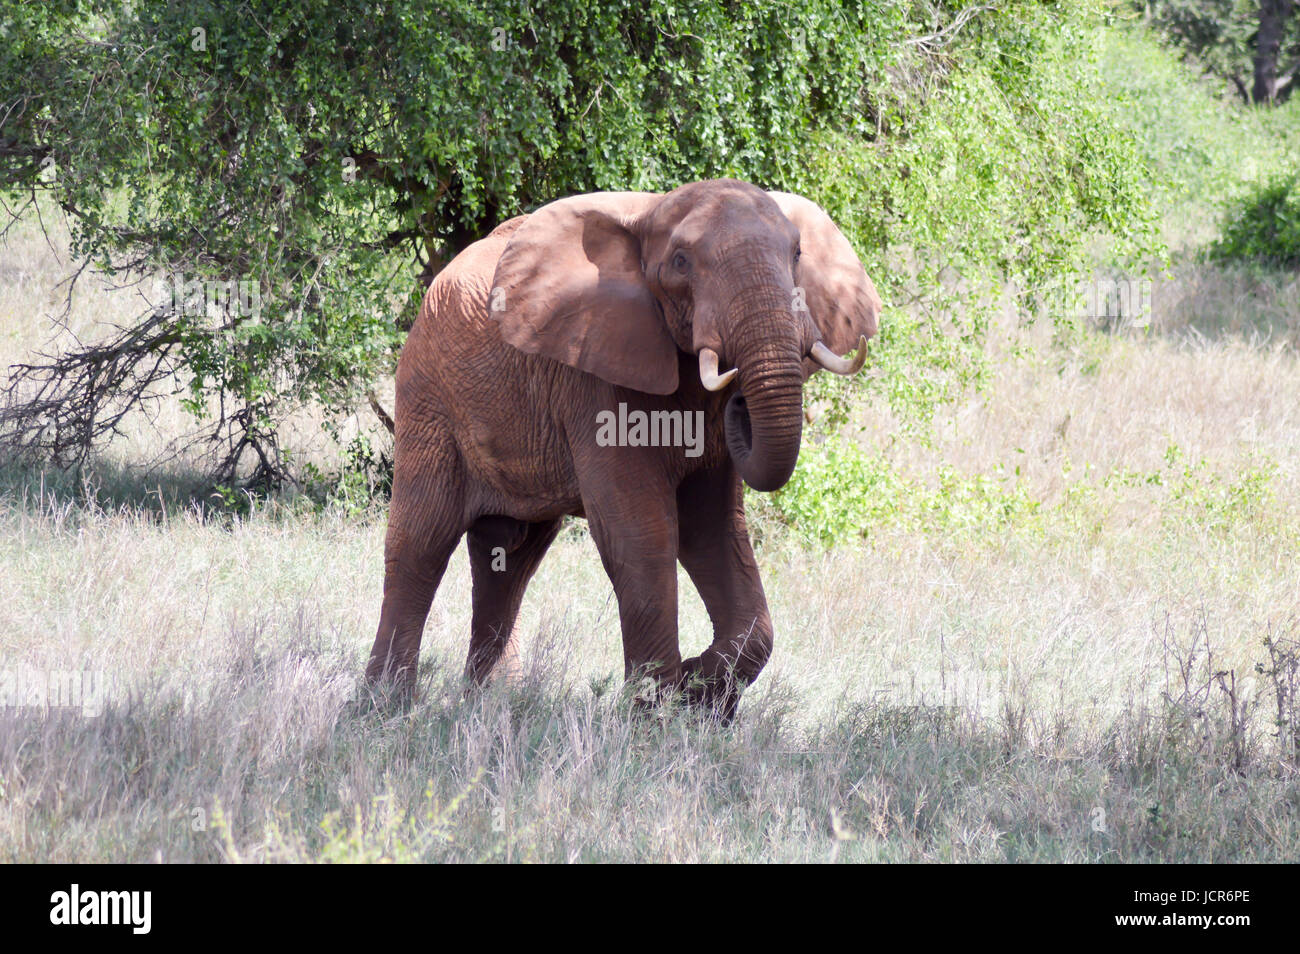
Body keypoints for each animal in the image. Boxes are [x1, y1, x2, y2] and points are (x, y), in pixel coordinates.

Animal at [366, 178, 880, 720]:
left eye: (797, 253)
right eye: (680, 261)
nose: (738, 394)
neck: (652, 212)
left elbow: (712, 531)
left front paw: (699, 697)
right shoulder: (594, 371)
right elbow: (641, 532)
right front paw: (655, 716)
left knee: (508, 557)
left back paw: (492, 704)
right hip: (428, 397)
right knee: (422, 540)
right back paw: (385, 706)